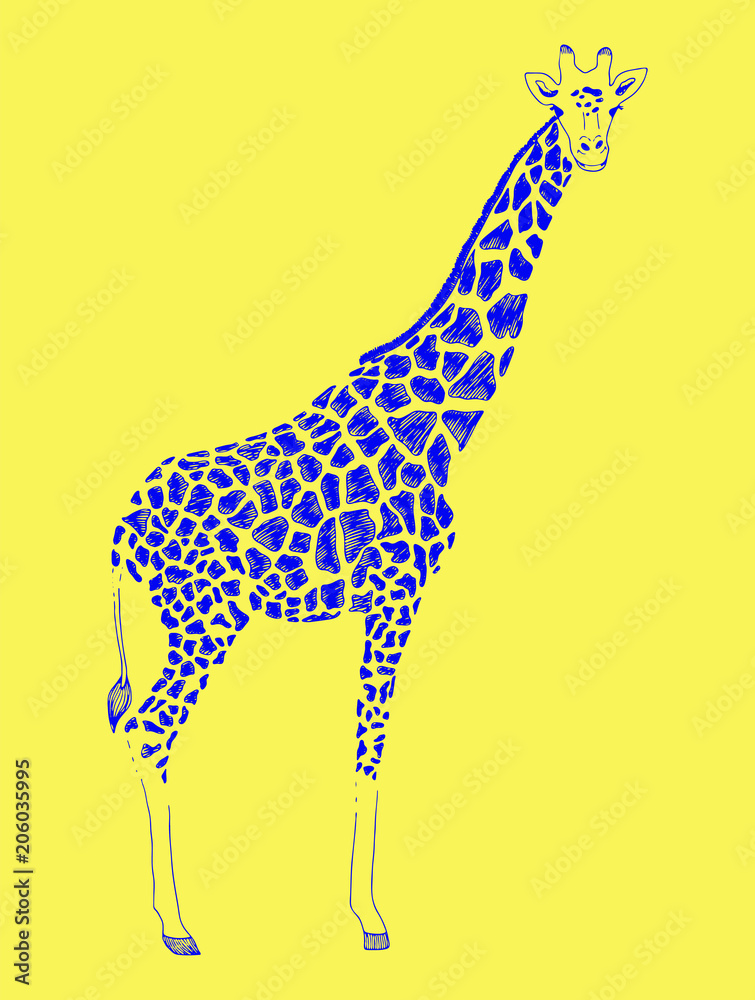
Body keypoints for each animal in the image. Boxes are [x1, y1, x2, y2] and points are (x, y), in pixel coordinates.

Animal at [106, 46, 647, 955]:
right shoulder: (394, 597)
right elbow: (372, 753)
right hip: (202, 620)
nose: (593, 151)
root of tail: (115, 536)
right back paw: (176, 929)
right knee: (152, 732)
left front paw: (359, 912)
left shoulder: (378, 604)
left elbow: (363, 751)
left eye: (609, 105)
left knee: (135, 727)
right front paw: (369, 920)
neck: (446, 413)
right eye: (569, 102)